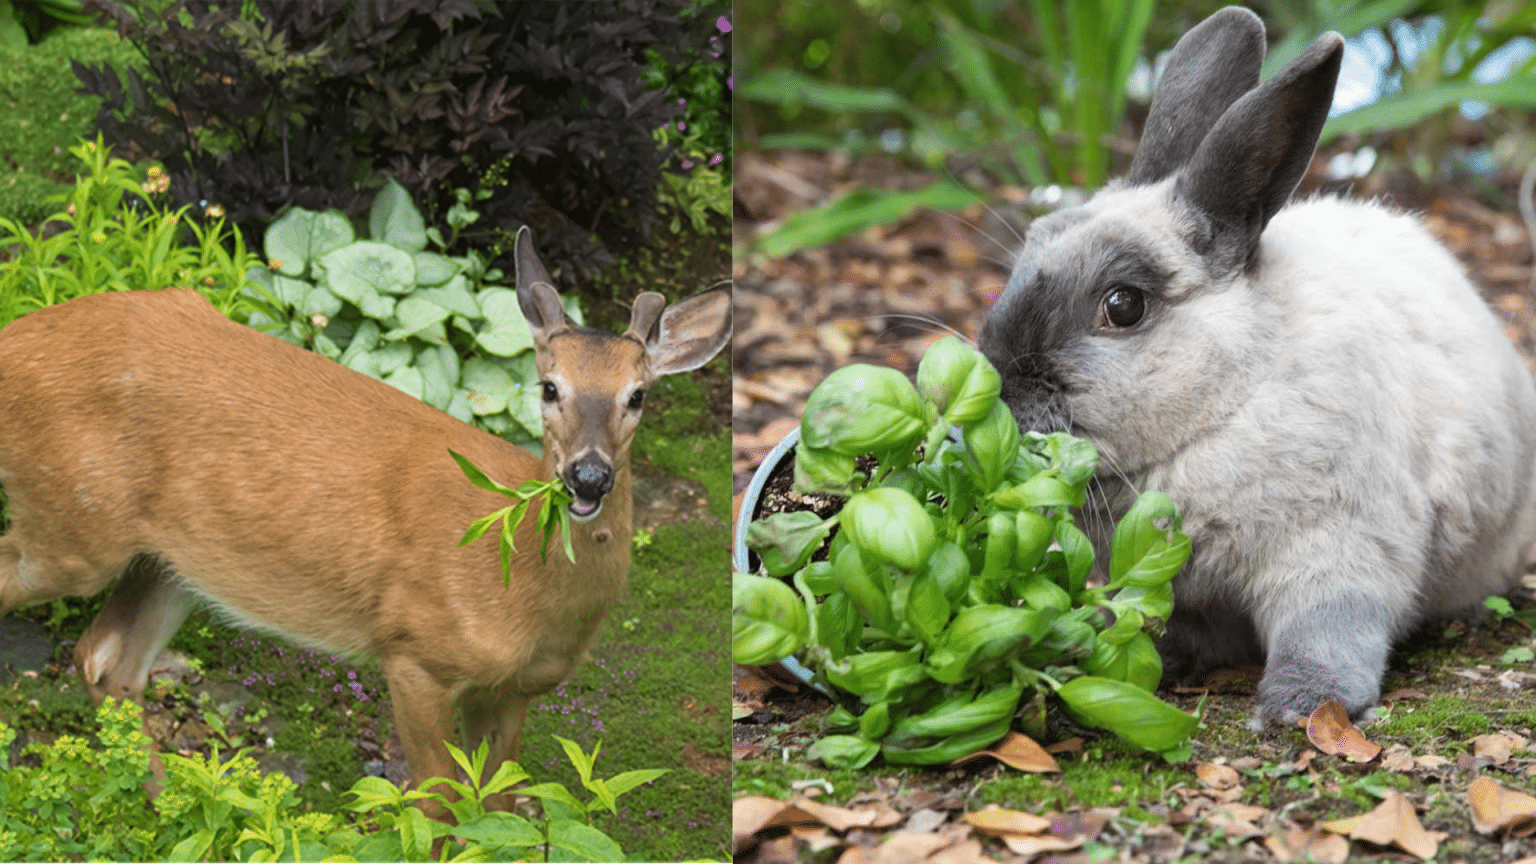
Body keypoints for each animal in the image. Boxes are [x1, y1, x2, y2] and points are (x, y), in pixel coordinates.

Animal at [0, 225, 732, 813]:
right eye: (549, 387)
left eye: (639, 396)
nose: (588, 476)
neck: (523, 582)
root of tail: (12, 341)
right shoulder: (414, 649)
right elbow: (439, 806)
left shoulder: (516, 689)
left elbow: (493, 805)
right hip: (73, 524)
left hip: (173, 561)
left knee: (105, 659)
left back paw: (179, 809)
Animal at [976, 5, 1536, 726]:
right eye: (1030, 245)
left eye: (1123, 306)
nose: (1000, 383)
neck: (1227, 401)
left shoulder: (1338, 550)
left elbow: (1325, 628)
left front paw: (1299, 705)